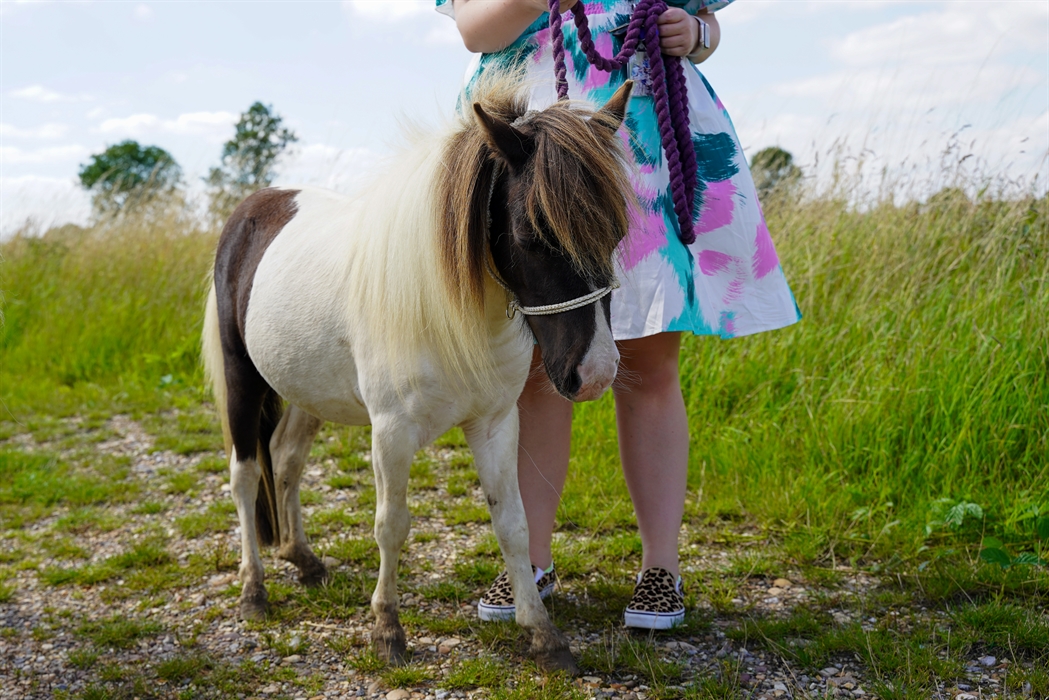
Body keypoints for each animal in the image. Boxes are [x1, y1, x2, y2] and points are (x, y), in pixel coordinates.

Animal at [201, 75, 635, 673]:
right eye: (532, 235)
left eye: (615, 233)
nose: (594, 373)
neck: (446, 307)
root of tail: (250, 211)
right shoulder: (391, 433)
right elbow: (392, 525)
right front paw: (387, 629)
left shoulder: (495, 424)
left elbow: (514, 524)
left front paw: (543, 634)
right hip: (243, 381)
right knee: (244, 478)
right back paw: (253, 590)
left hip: (306, 393)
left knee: (286, 459)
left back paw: (303, 558)